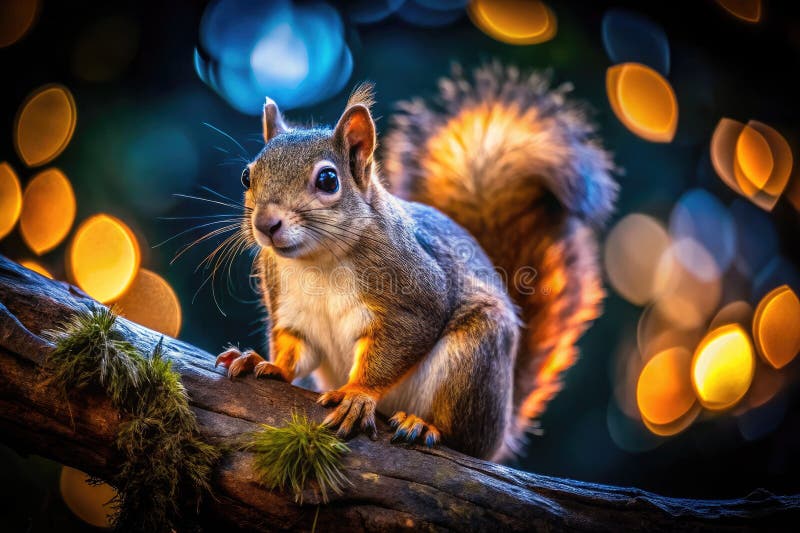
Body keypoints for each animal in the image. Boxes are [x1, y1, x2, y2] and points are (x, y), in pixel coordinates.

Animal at [215, 63, 617, 461]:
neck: (318, 260)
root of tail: (501, 430)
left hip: (472, 361)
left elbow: (399, 342)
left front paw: (357, 394)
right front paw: (264, 363)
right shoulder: (289, 306)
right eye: (247, 176)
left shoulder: (414, 295)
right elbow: (293, 348)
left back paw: (426, 426)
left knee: (464, 438)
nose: (266, 224)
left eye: (328, 180)